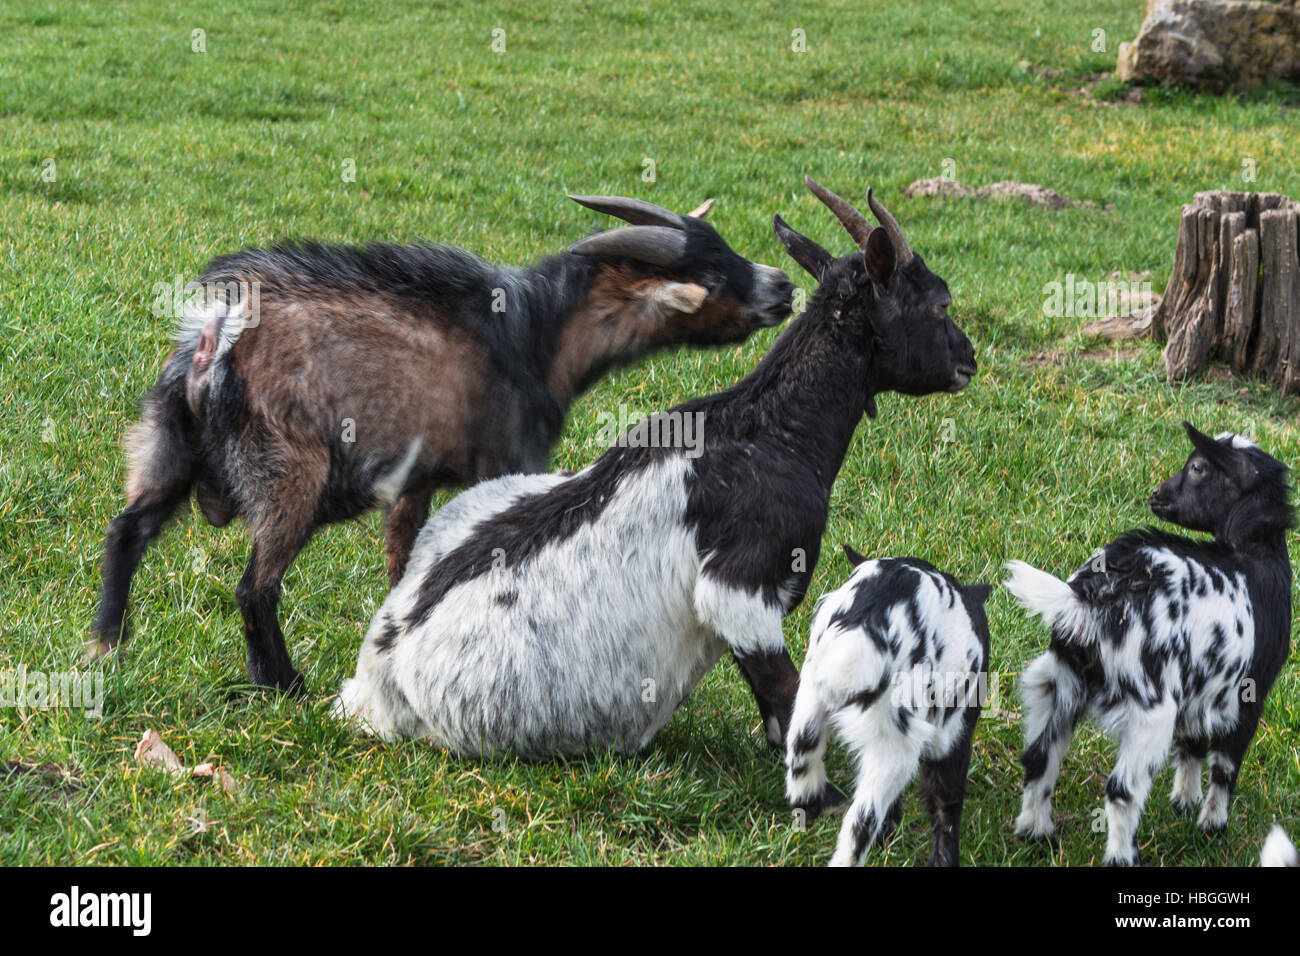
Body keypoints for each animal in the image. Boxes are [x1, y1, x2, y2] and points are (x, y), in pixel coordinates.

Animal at [92, 194, 796, 693]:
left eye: (726, 247)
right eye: (710, 274)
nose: (783, 286)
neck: (533, 337)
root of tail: (215, 336)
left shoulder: (414, 480)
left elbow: (404, 565)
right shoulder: (508, 461)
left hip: (168, 444)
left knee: (128, 530)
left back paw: (107, 647)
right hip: (289, 471)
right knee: (254, 585)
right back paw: (283, 683)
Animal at [334, 177, 978, 772]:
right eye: (941, 304)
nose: (968, 360)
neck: (767, 430)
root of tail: (375, 681)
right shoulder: (740, 592)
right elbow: (784, 702)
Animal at [785, 548, 990, 866]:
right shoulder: (953, 734)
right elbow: (946, 802)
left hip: (809, 702)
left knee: (801, 767)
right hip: (894, 745)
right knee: (861, 823)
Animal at [1005, 423, 1293, 866]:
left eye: (1197, 467)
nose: (1156, 495)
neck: (1256, 554)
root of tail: (1090, 596)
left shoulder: (1202, 687)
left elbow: (1193, 744)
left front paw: (1184, 802)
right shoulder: (1247, 694)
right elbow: (1225, 766)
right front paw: (1212, 826)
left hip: (1057, 680)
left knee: (1039, 758)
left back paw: (1037, 833)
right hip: (1149, 709)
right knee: (1121, 791)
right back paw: (1123, 856)